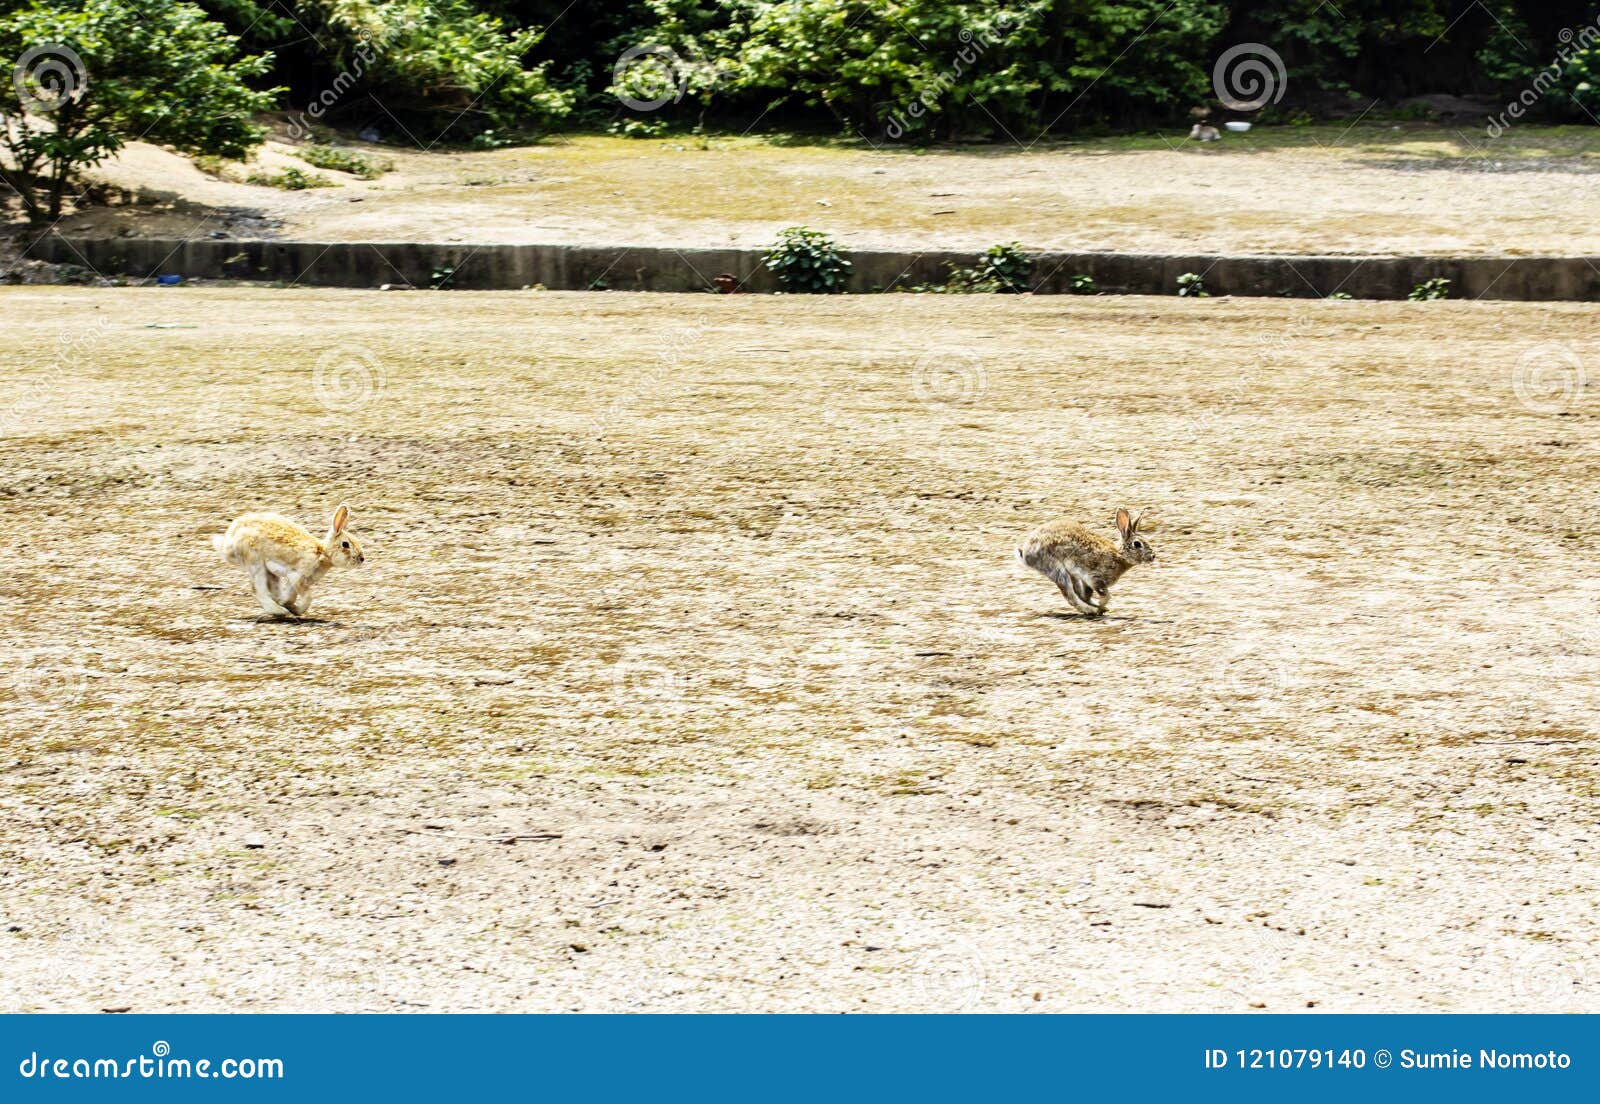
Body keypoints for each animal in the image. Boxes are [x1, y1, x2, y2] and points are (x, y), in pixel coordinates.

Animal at [211, 503, 364, 618]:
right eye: (345, 544)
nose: (362, 558)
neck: (321, 553)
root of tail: (229, 542)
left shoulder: (296, 581)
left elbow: (291, 595)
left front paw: (287, 604)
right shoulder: (297, 576)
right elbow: (308, 598)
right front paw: (294, 609)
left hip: (269, 572)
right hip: (255, 562)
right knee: (258, 590)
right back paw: (279, 611)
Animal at [1016, 507, 1153, 617]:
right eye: (1137, 544)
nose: (1153, 556)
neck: (1118, 555)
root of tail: (1026, 553)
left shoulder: (1086, 581)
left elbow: (1086, 594)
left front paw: (1101, 607)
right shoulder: (1095, 578)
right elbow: (1106, 595)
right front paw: (1100, 605)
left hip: (1072, 574)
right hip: (1057, 569)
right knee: (1070, 596)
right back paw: (1091, 610)